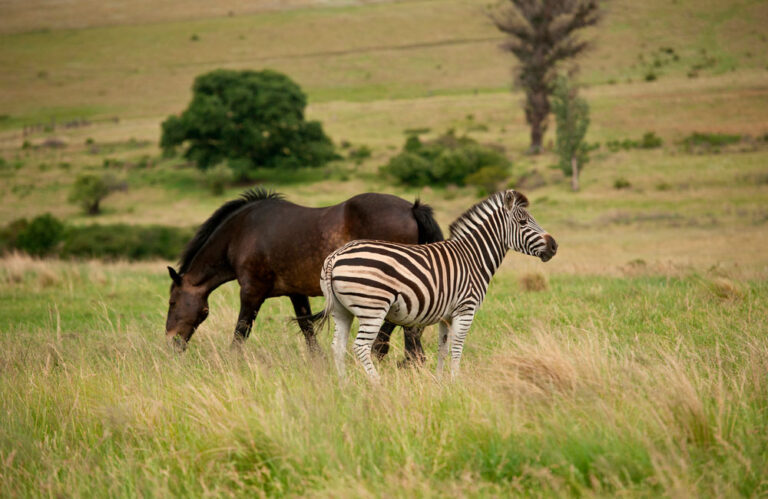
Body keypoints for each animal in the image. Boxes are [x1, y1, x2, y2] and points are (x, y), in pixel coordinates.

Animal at [164, 188, 444, 361]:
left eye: (172, 302)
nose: (171, 342)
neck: (242, 233)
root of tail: (412, 209)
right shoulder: (295, 292)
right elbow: (306, 327)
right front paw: (318, 361)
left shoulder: (252, 291)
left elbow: (241, 329)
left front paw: (232, 359)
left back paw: (387, 355)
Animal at [315, 189, 557, 381]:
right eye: (523, 223)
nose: (554, 246)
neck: (473, 258)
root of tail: (335, 256)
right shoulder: (465, 310)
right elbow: (457, 348)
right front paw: (456, 382)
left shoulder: (446, 316)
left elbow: (443, 349)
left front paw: (441, 382)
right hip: (372, 308)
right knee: (360, 347)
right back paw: (377, 384)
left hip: (342, 310)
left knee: (338, 347)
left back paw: (344, 386)